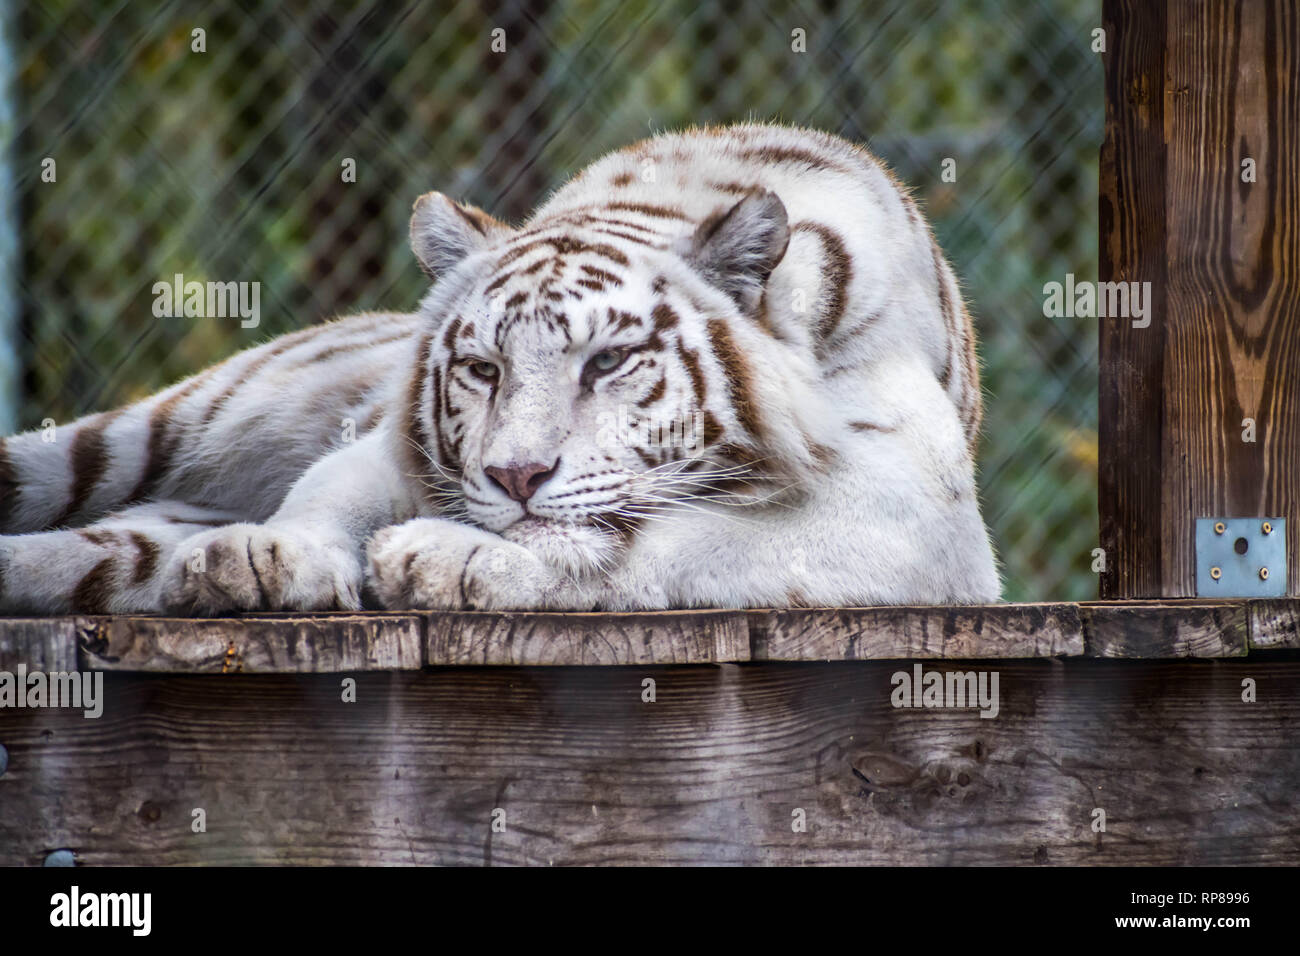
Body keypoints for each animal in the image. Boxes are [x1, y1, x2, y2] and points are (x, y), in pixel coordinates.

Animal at [0, 123, 1000, 615]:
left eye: (610, 361)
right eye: (482, 368)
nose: (516, 475)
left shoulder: (918, 506)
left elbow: (671, 536)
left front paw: (447, 559)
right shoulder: (386, 444)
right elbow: (332, 490)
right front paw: (267, 557)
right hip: (156, 428)